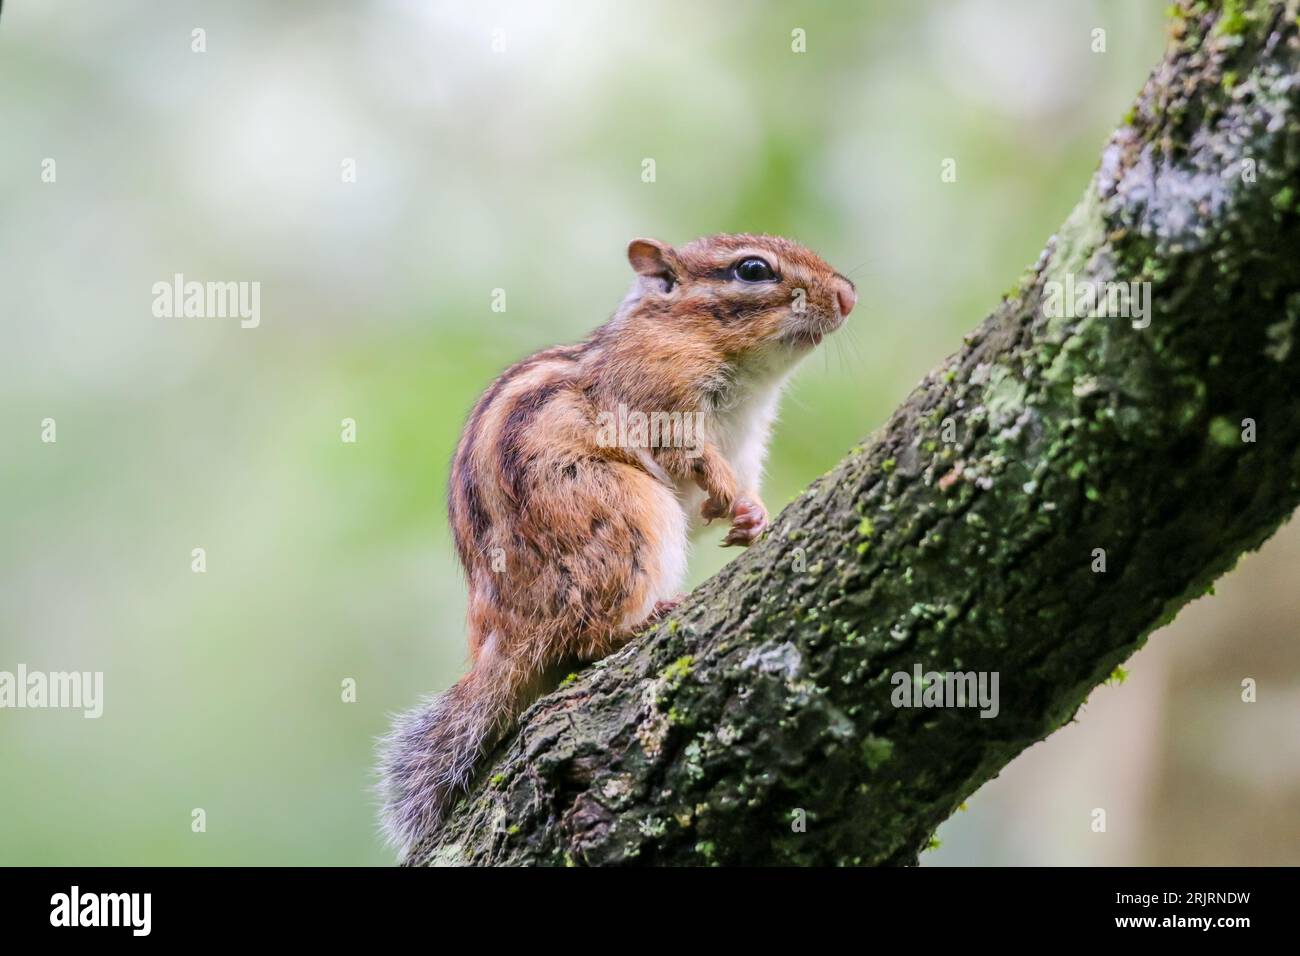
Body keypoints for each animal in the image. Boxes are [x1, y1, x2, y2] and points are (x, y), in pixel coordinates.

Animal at [378, 233, 856, 858]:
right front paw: (737, 503)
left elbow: (707, 503)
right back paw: (647, 616)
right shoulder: (661, 400)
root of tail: (507, 636)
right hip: (631, 513)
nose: (848, 295)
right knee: (586, 636)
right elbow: (688, 455)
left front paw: (750, 517)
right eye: (752, 270)